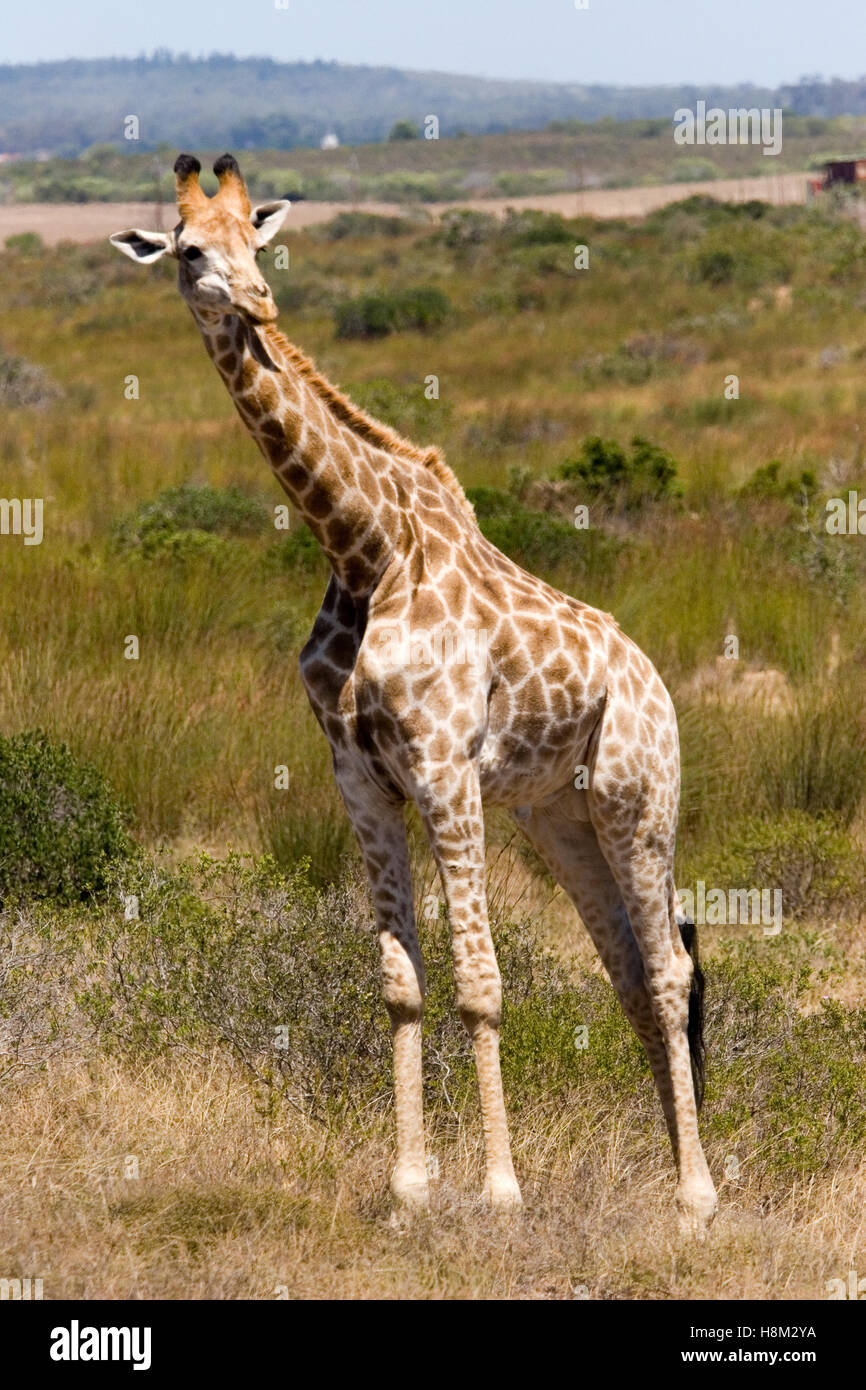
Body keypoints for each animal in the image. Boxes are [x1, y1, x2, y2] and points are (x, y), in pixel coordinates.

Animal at [110, 153, 718, 1234]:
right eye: (187, 251)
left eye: (257, 242)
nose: (258, 302)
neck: (363, 547)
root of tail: (649, 673)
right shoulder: (357, 776)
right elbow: (400, 980)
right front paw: (409, 1189)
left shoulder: (443, 767)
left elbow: (480, 981)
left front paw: (501, 1191)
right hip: (557, 817)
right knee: (625, 970)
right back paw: (669, 1172)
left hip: (637, 795)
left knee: (669, 966)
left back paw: (697, 1195)